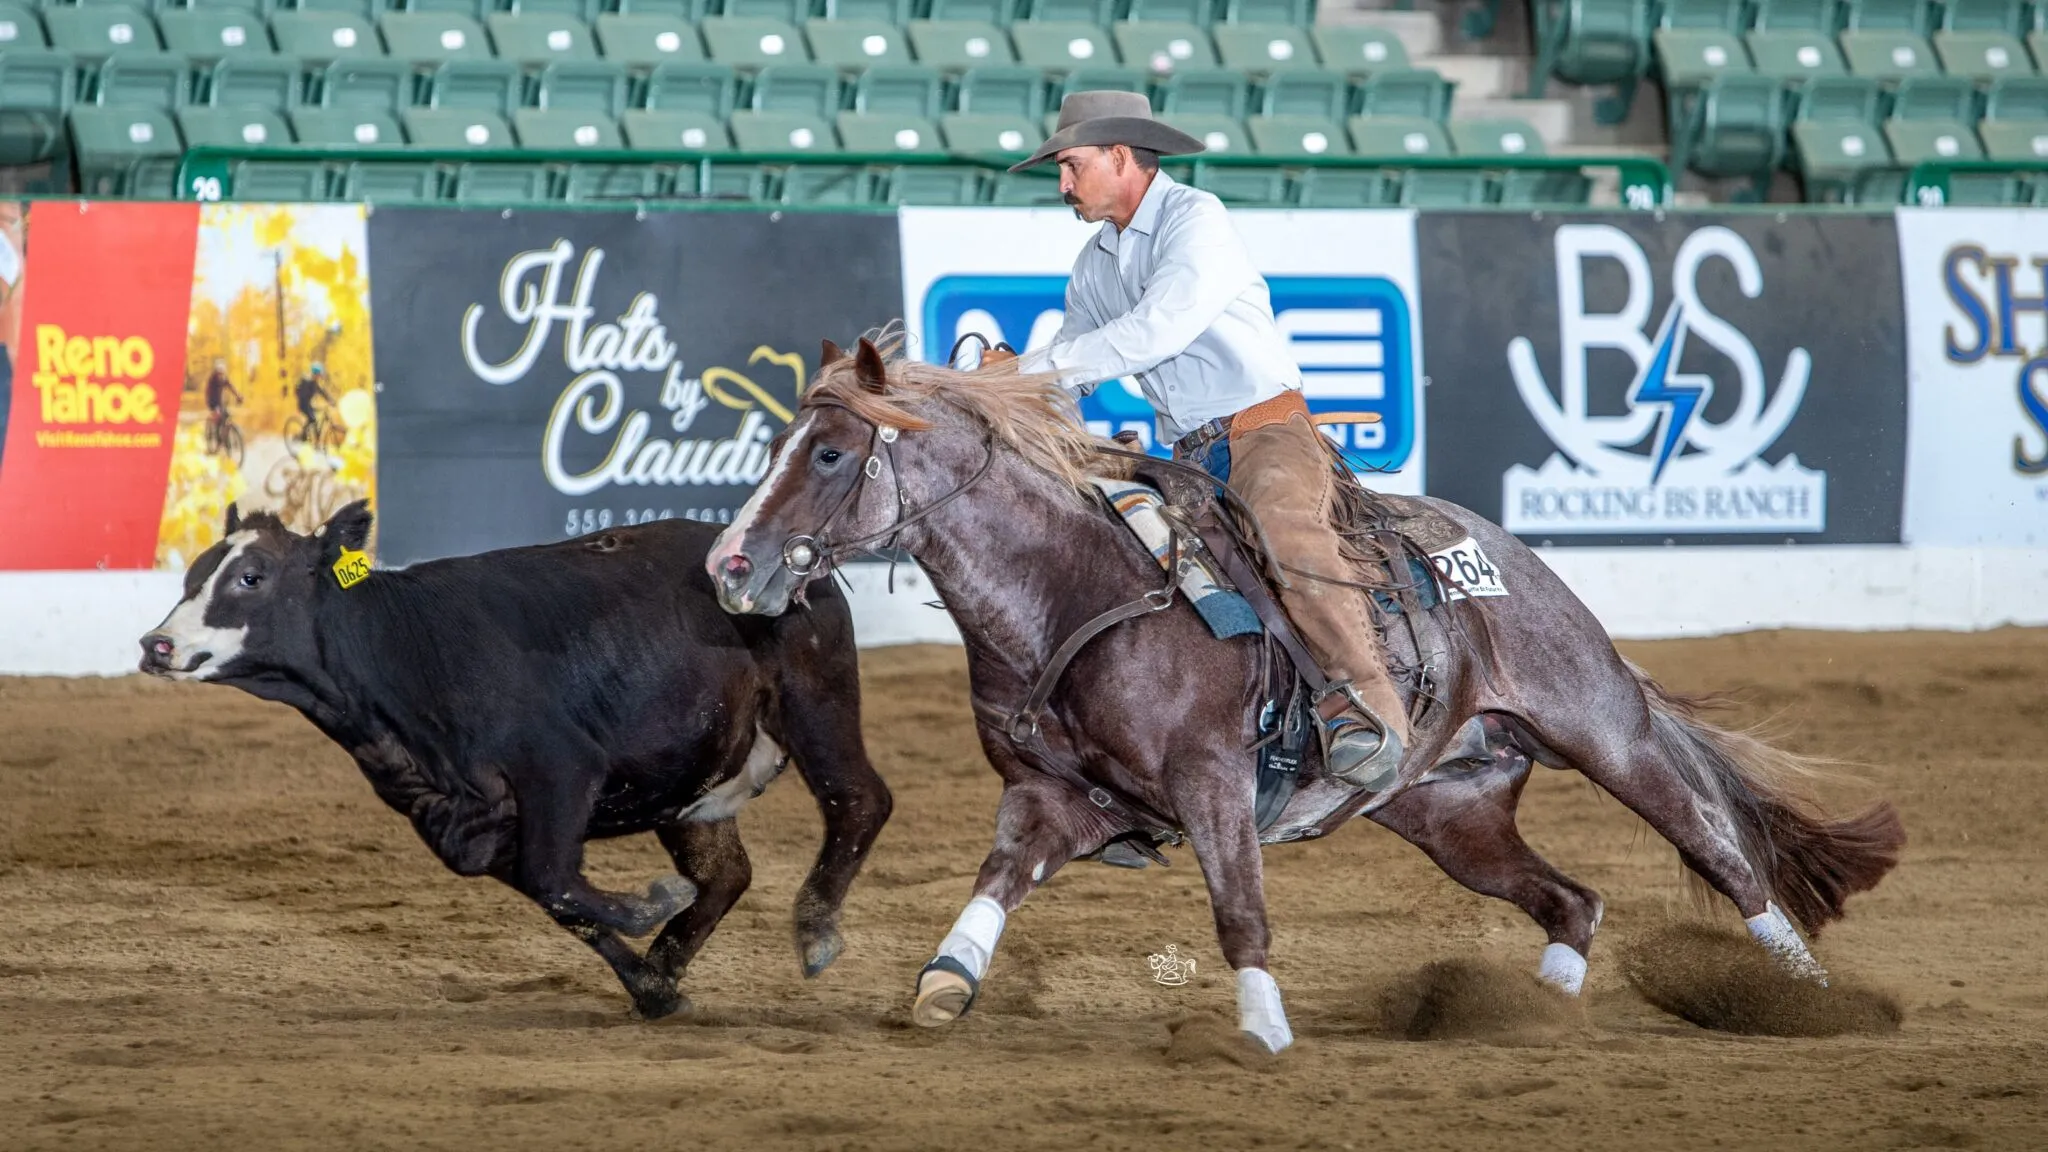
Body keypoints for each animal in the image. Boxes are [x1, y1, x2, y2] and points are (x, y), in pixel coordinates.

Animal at [705, 335, 1904, 1052]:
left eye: (827, 452)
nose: (729, 565)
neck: (1076, 596)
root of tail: (1503, 555)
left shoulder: (1213, 785)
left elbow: (1240, 910)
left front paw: (1263, 1035)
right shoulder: (1055, 800)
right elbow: (995, 880)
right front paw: (945, 982)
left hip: (1602, 727)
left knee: (1717, 848)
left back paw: (1808, 998)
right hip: (1450, 814)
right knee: (1572, 899)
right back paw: (1531, 1015)